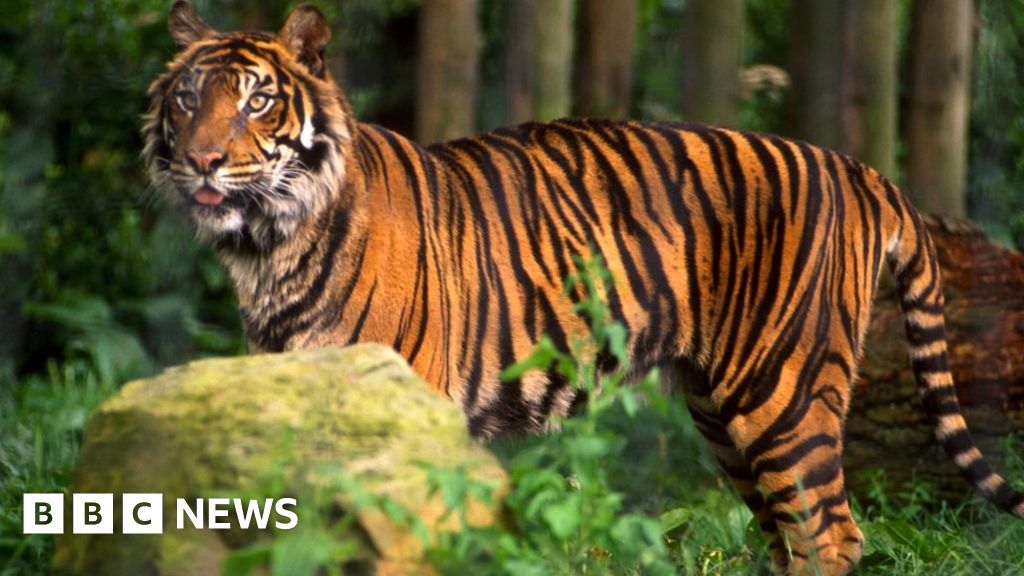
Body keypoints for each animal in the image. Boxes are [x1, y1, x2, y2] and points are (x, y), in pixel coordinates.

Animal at [143, 2, 1024, 574]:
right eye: (188, 98)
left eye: (257, 100)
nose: (203, 160)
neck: (268, 244)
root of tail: (855, 166)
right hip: (725, 413)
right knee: (789, 536)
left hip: (785, 393)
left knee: (830, 535)